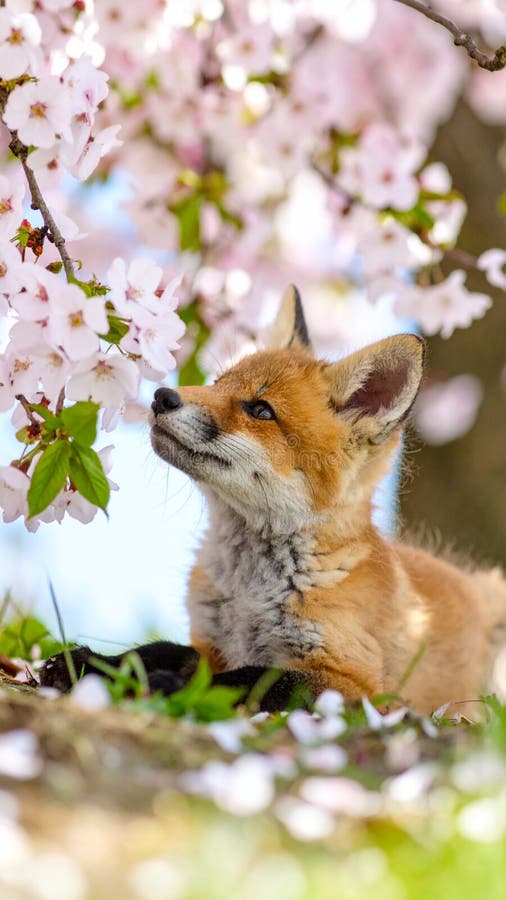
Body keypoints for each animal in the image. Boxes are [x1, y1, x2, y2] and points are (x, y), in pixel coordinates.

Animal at [41, 286, 506, 714]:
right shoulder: (211, 643)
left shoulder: (357, 686)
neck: (249, 595)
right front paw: (89, 664)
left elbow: (252, 679)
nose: (161, 397)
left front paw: (173, 688)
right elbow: (159, 649)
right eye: (217, 383)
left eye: (261, 410)